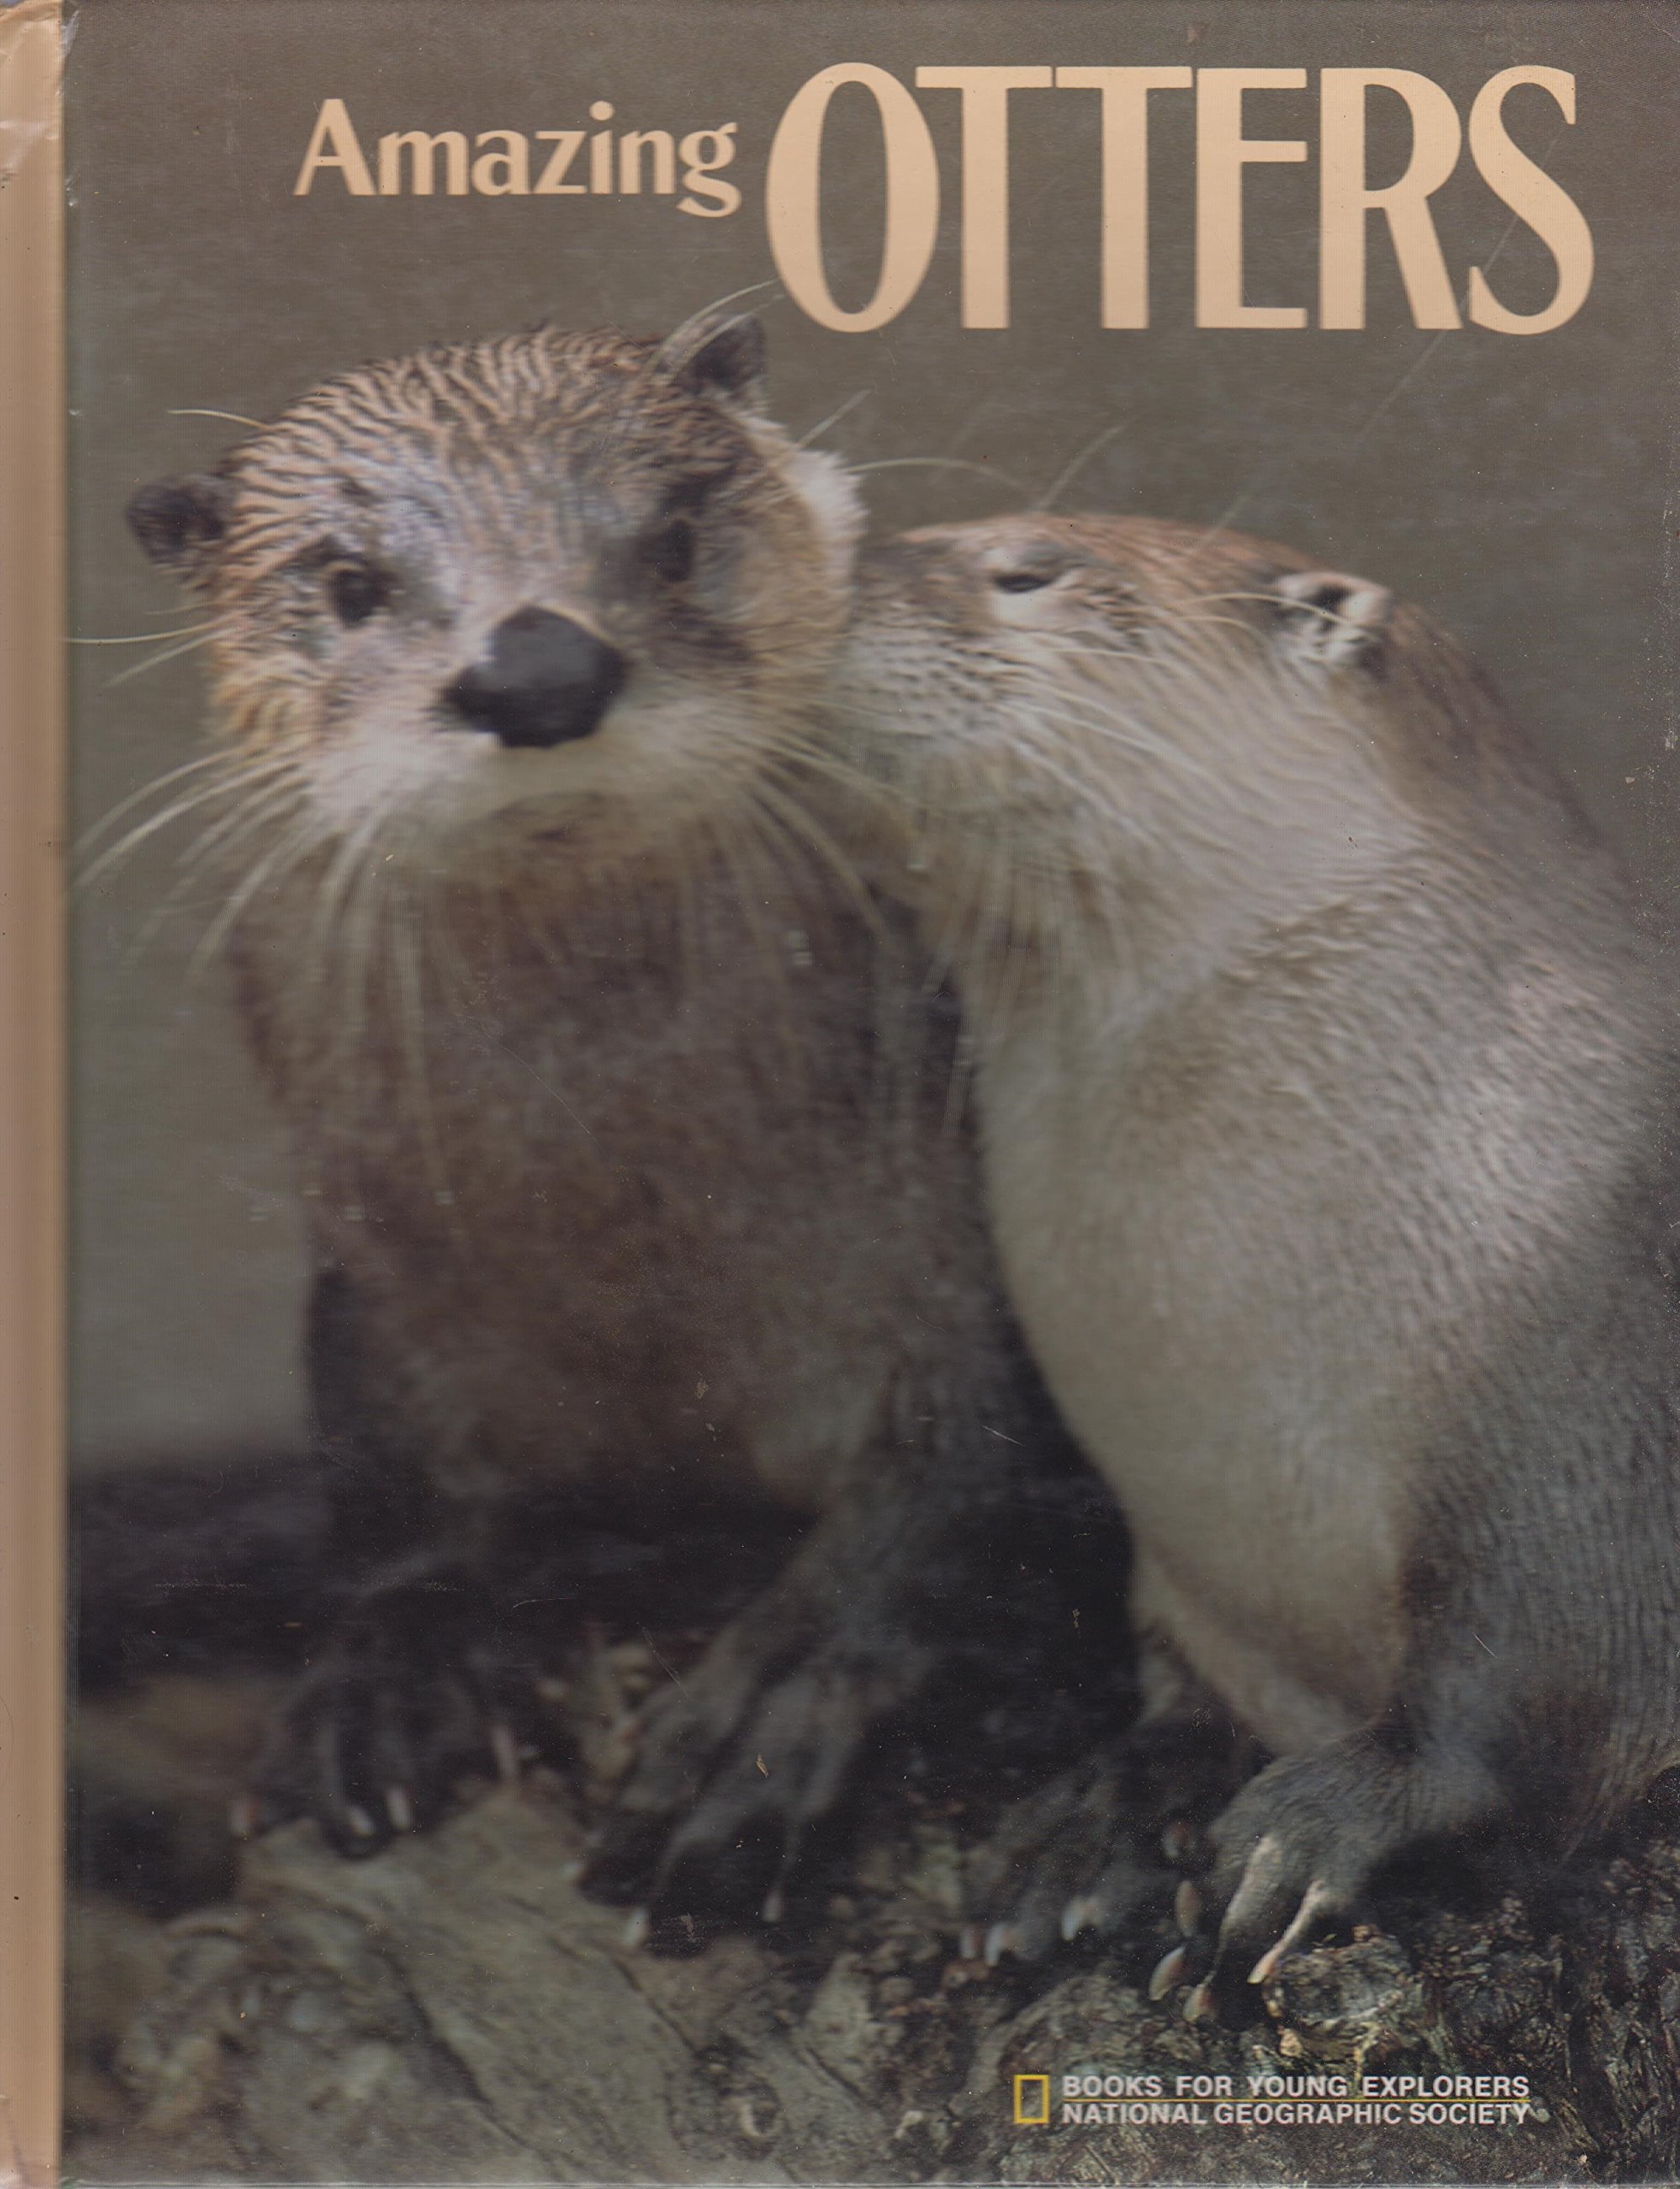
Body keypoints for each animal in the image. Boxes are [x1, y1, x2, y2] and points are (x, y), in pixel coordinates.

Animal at [123, 320, 1123, 1929]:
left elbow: (966, 1474)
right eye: (349, 584)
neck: (648, 1283)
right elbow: (385, 1479)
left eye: (670, 538)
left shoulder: (970, 1248)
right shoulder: (381, 1278)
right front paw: (387, 1676)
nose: (537, 665)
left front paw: (768, 1712)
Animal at [827, 512, 1680, 2006]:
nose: (827, 567)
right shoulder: (1191, 1561)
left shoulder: (1586, 1400)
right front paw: (1092, 1819)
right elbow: (1176, 1691)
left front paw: (1307, 1833)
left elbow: (1525, 1712)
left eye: (1027, 567)